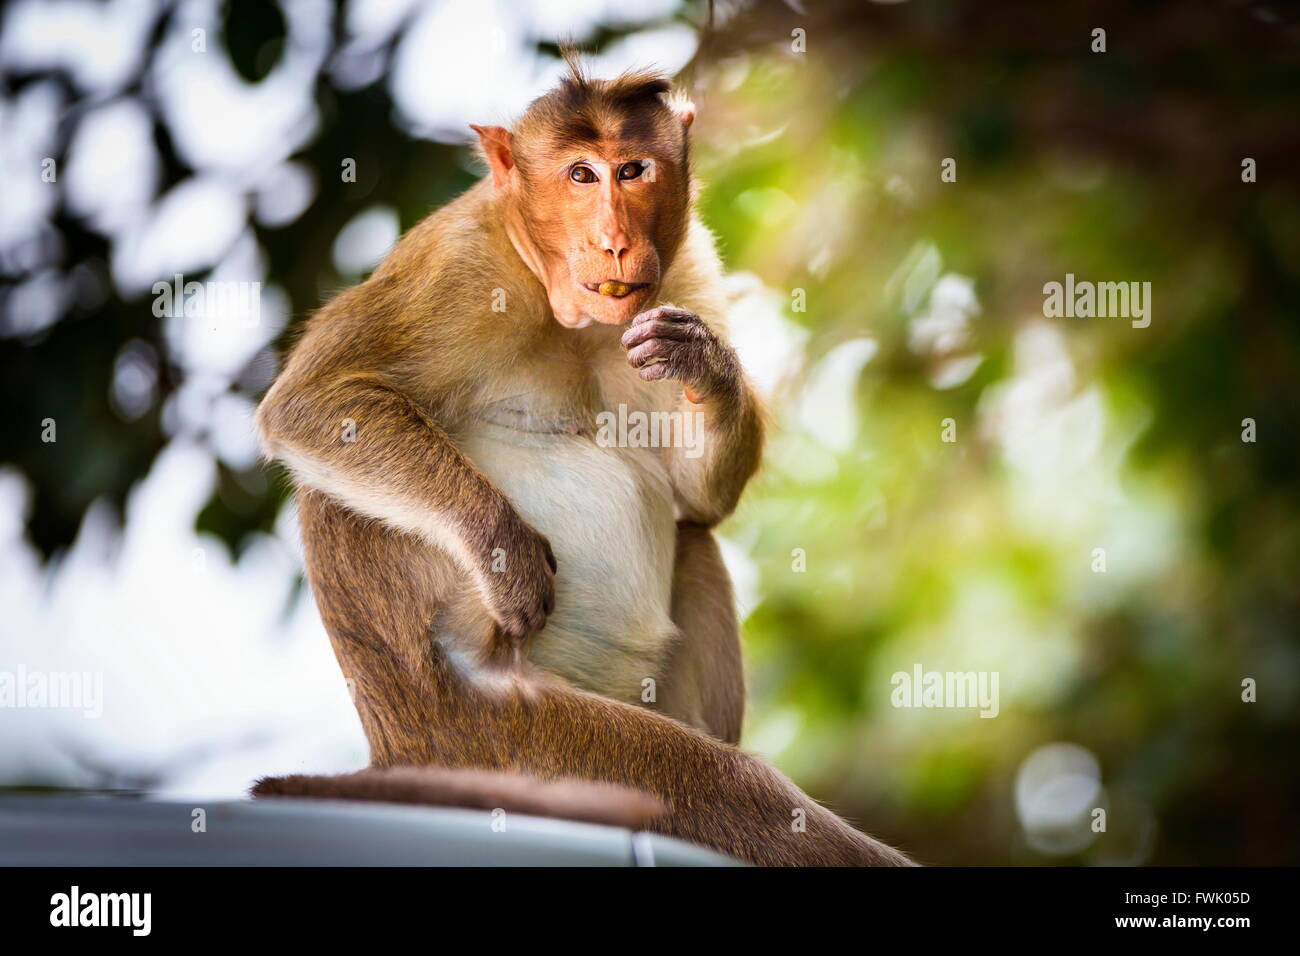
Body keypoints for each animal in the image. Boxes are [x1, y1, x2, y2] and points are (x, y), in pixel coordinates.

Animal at [252, 57, 912, 867]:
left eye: (632, 170)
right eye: (580, 174)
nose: (615, 242)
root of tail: (395, 749)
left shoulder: (687, 267)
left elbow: (698, 498)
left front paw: (708, 365)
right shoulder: (457, 267)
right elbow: (312, 402)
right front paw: (504, 552)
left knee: (693, 540)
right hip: (495, 738)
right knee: (711, 779)